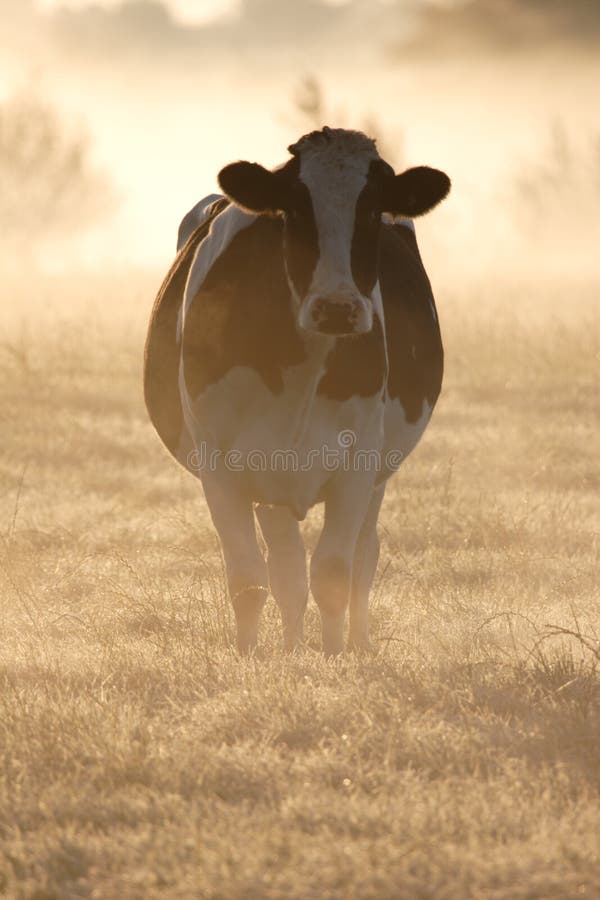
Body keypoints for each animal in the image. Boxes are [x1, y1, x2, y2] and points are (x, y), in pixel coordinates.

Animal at [144, 127, 450, 655]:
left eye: (373, 210)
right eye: (295, 210)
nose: (337, 308)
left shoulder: (358, 463)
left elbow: (333, 573)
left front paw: (332, 659)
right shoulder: (220, 466)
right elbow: (249, 579)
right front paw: (251, 658)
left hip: (376, 472)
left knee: (362, 557)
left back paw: (358, 644)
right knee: (285, 566)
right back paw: (289, 647)